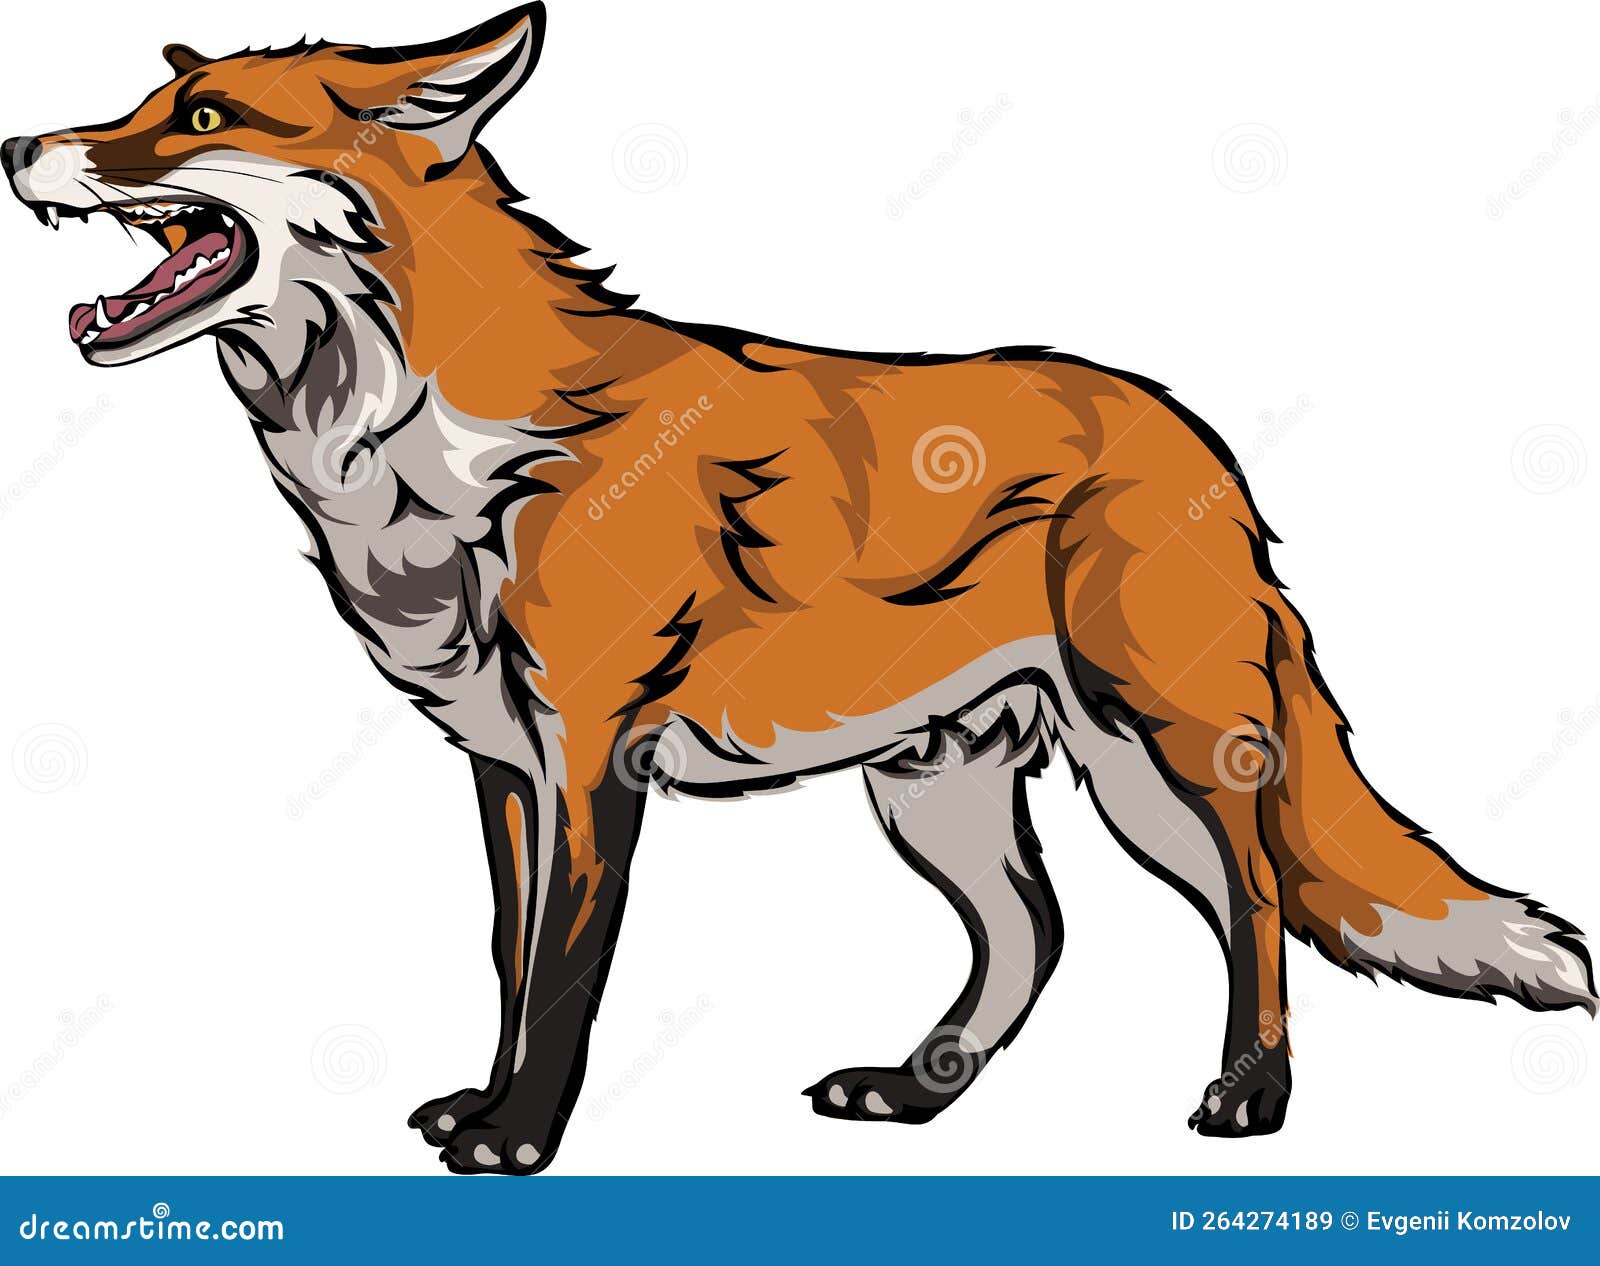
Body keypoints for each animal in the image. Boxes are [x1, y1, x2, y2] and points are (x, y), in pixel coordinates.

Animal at [4, 3, 1595, 1175]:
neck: (429, 455)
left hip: (1165, 750)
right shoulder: (500, 763)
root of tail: (1194, 435)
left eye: (203, 123)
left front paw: (520, 1139)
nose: (19, 141)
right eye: (150, 100)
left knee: (1253, 899)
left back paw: (1249, 1098)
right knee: (1037, 930)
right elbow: (507, 961)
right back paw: (920, 1089)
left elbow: (564, 975)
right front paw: (485, 1100)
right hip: (940, 786)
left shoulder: (592, 755)